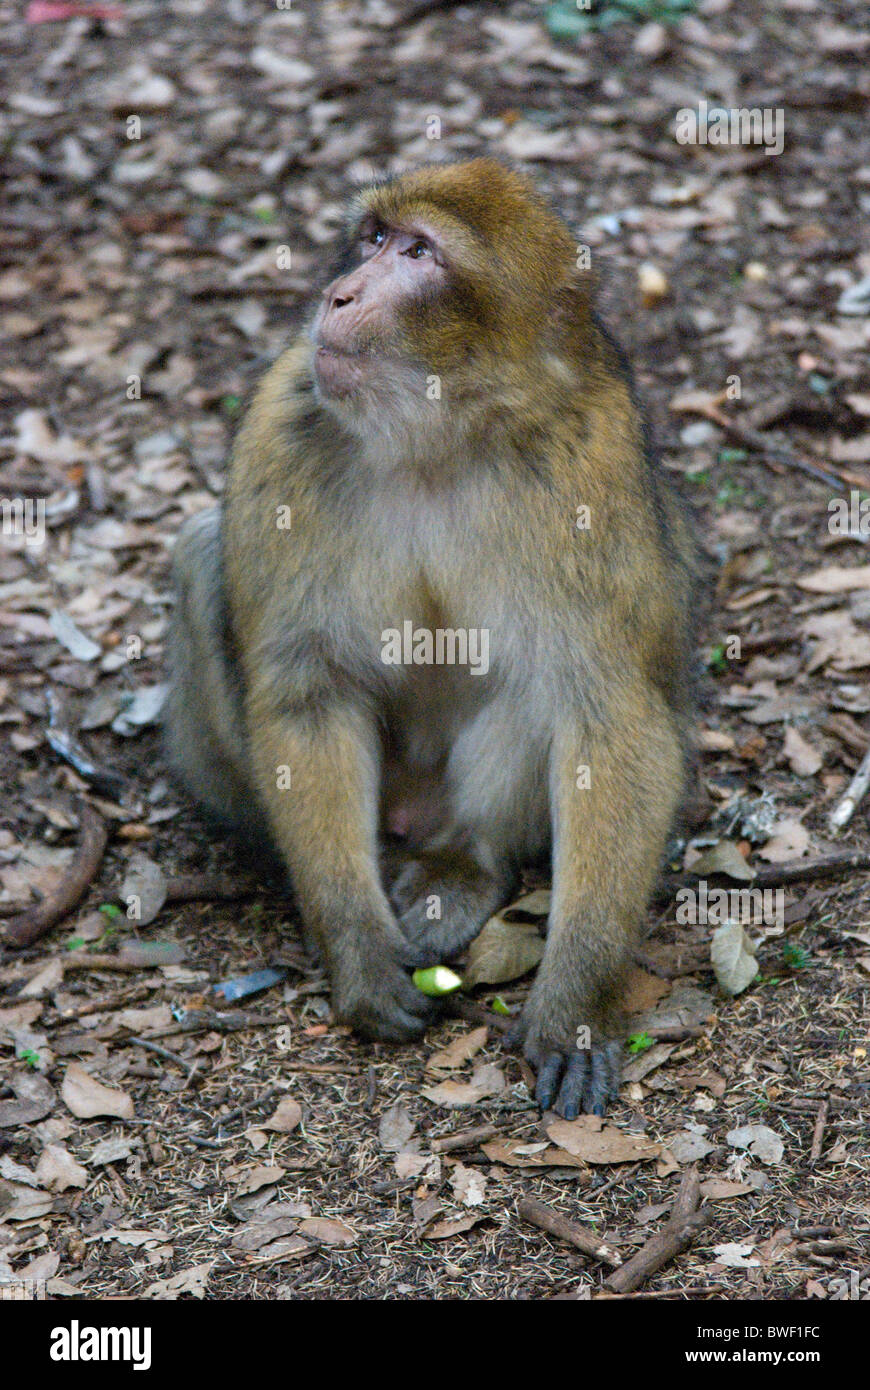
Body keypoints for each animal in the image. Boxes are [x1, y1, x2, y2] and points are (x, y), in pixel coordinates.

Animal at [164, 158, 698, 1118]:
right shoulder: (283, 422)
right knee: (200, 558)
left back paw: (465, 865)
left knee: (540, 690)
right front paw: (359, 950)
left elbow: (611, 720)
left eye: (420, 254)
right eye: (374, 238)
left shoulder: (588, 462)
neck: (442, 434)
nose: (338, 296)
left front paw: (574, 1005)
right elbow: (307, 691)